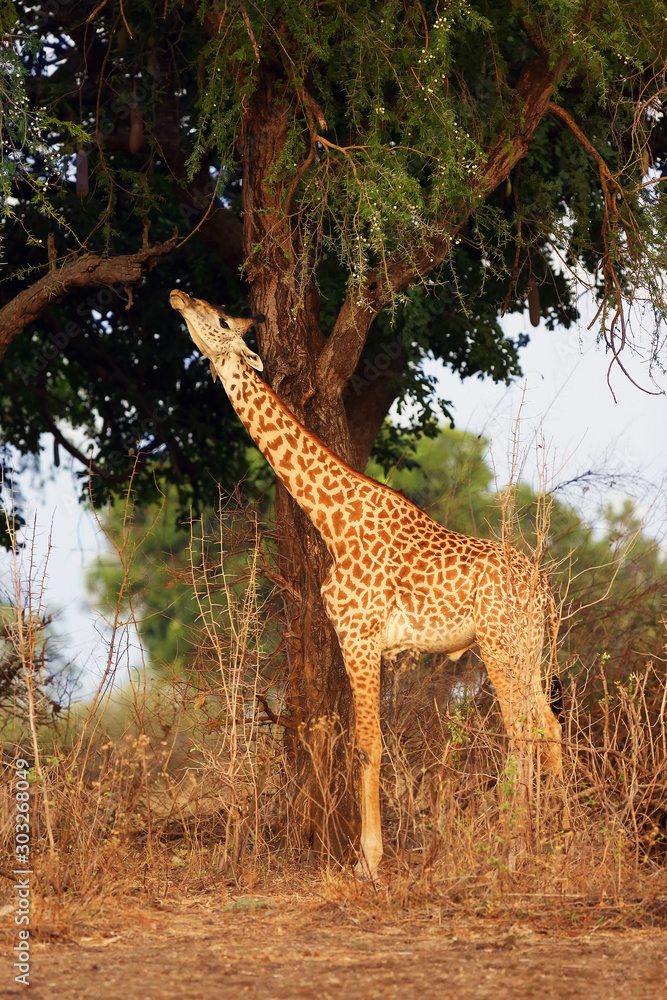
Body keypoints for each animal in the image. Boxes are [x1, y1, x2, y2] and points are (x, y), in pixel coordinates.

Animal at [170, 288, 564, 876]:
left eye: (218, 318)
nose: (177, 295)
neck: (333, 522)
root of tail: (543, 592)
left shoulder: (360, 636)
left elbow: (367, 743)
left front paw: (369, 861)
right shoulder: (367, 642)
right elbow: (356, 739)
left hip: (500, 643)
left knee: (522, 729)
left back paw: (517, 847)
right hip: (528, 646)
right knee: (548, 727)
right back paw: (563, 833)